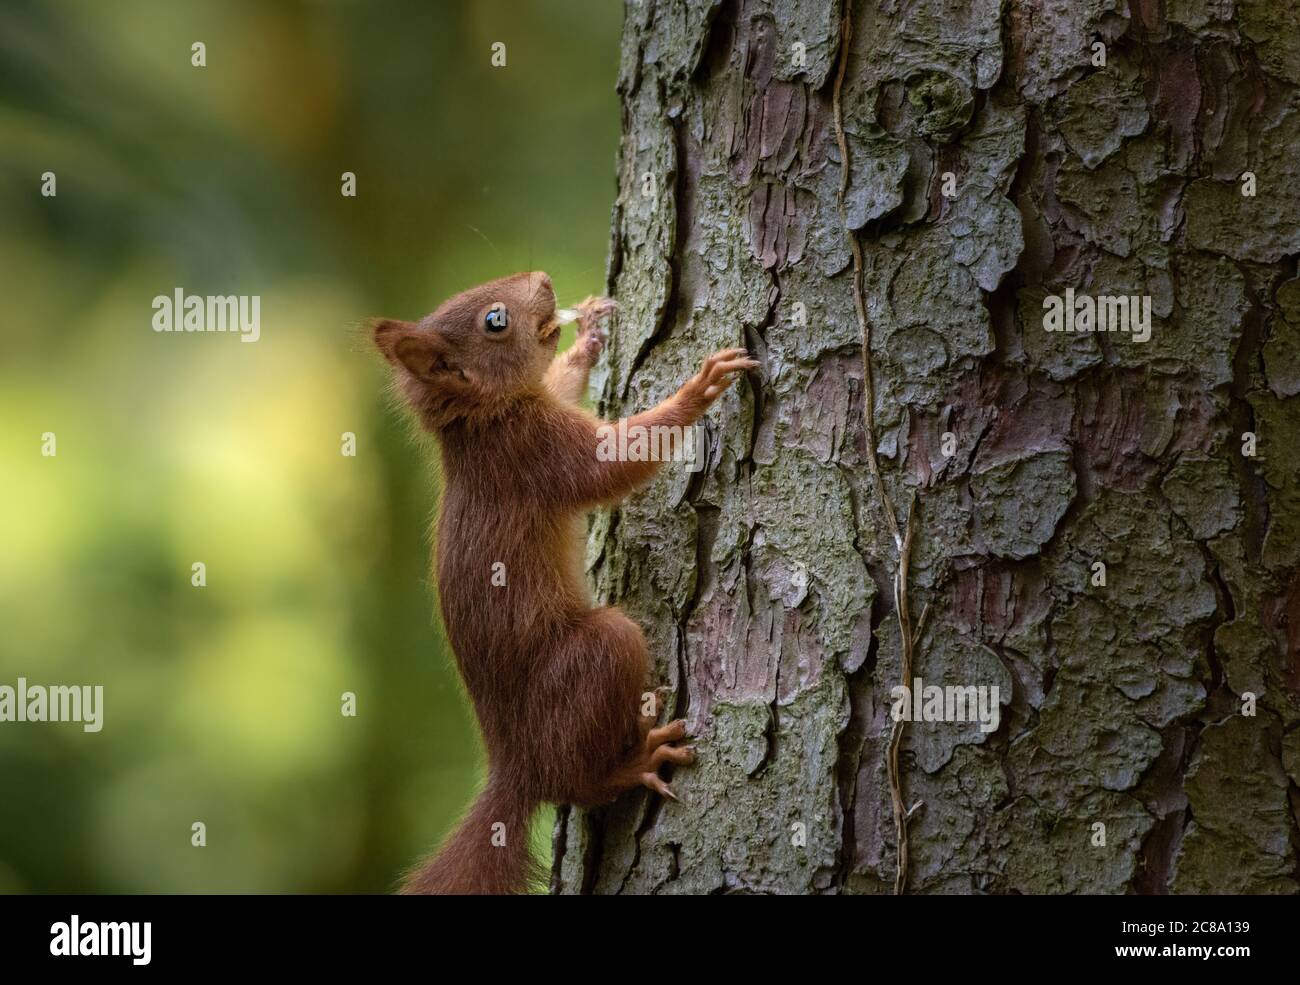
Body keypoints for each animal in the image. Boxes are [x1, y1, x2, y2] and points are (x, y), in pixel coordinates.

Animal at [372, 270, 758, 894]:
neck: (482, 420)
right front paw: (698, 388)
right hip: (597, 654)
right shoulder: (538, 450)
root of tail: (518, 769)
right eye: (495, 320)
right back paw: (635, 763)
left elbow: (561, 382)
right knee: (579, 782)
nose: (545, 279)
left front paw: (588, 340)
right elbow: (613, 461)